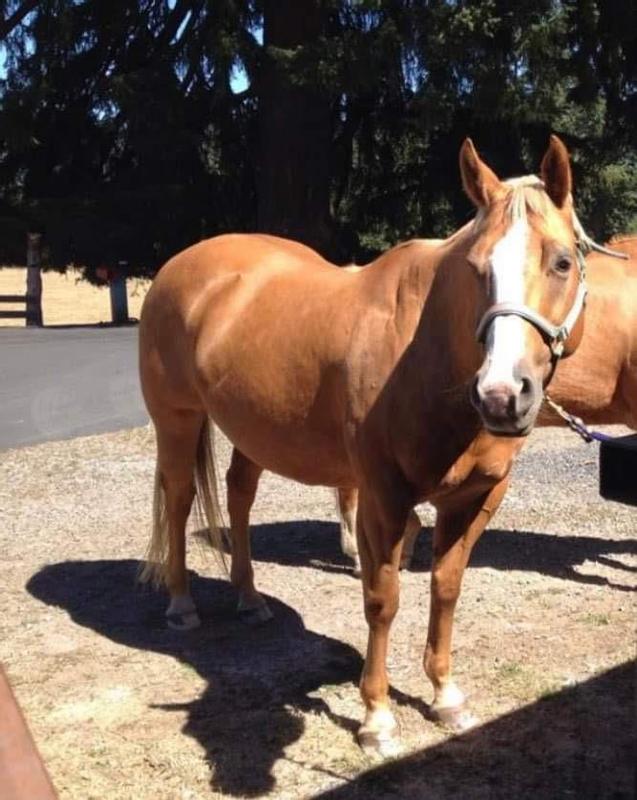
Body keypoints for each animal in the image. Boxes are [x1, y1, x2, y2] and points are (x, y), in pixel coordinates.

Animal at [139, 136, 587, 756]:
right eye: (476, 269)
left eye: (562, 261)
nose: (501, 396)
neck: (426, 358)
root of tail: (179, 267)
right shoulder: (382, 497)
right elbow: (383, 598)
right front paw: (376, 717)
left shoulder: (476, 498)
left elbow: (446, 588)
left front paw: (445, 695)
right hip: (177, 420)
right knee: (181, 503)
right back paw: (182, 605)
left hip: (253, 429)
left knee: (239, 497)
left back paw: (250, 599)